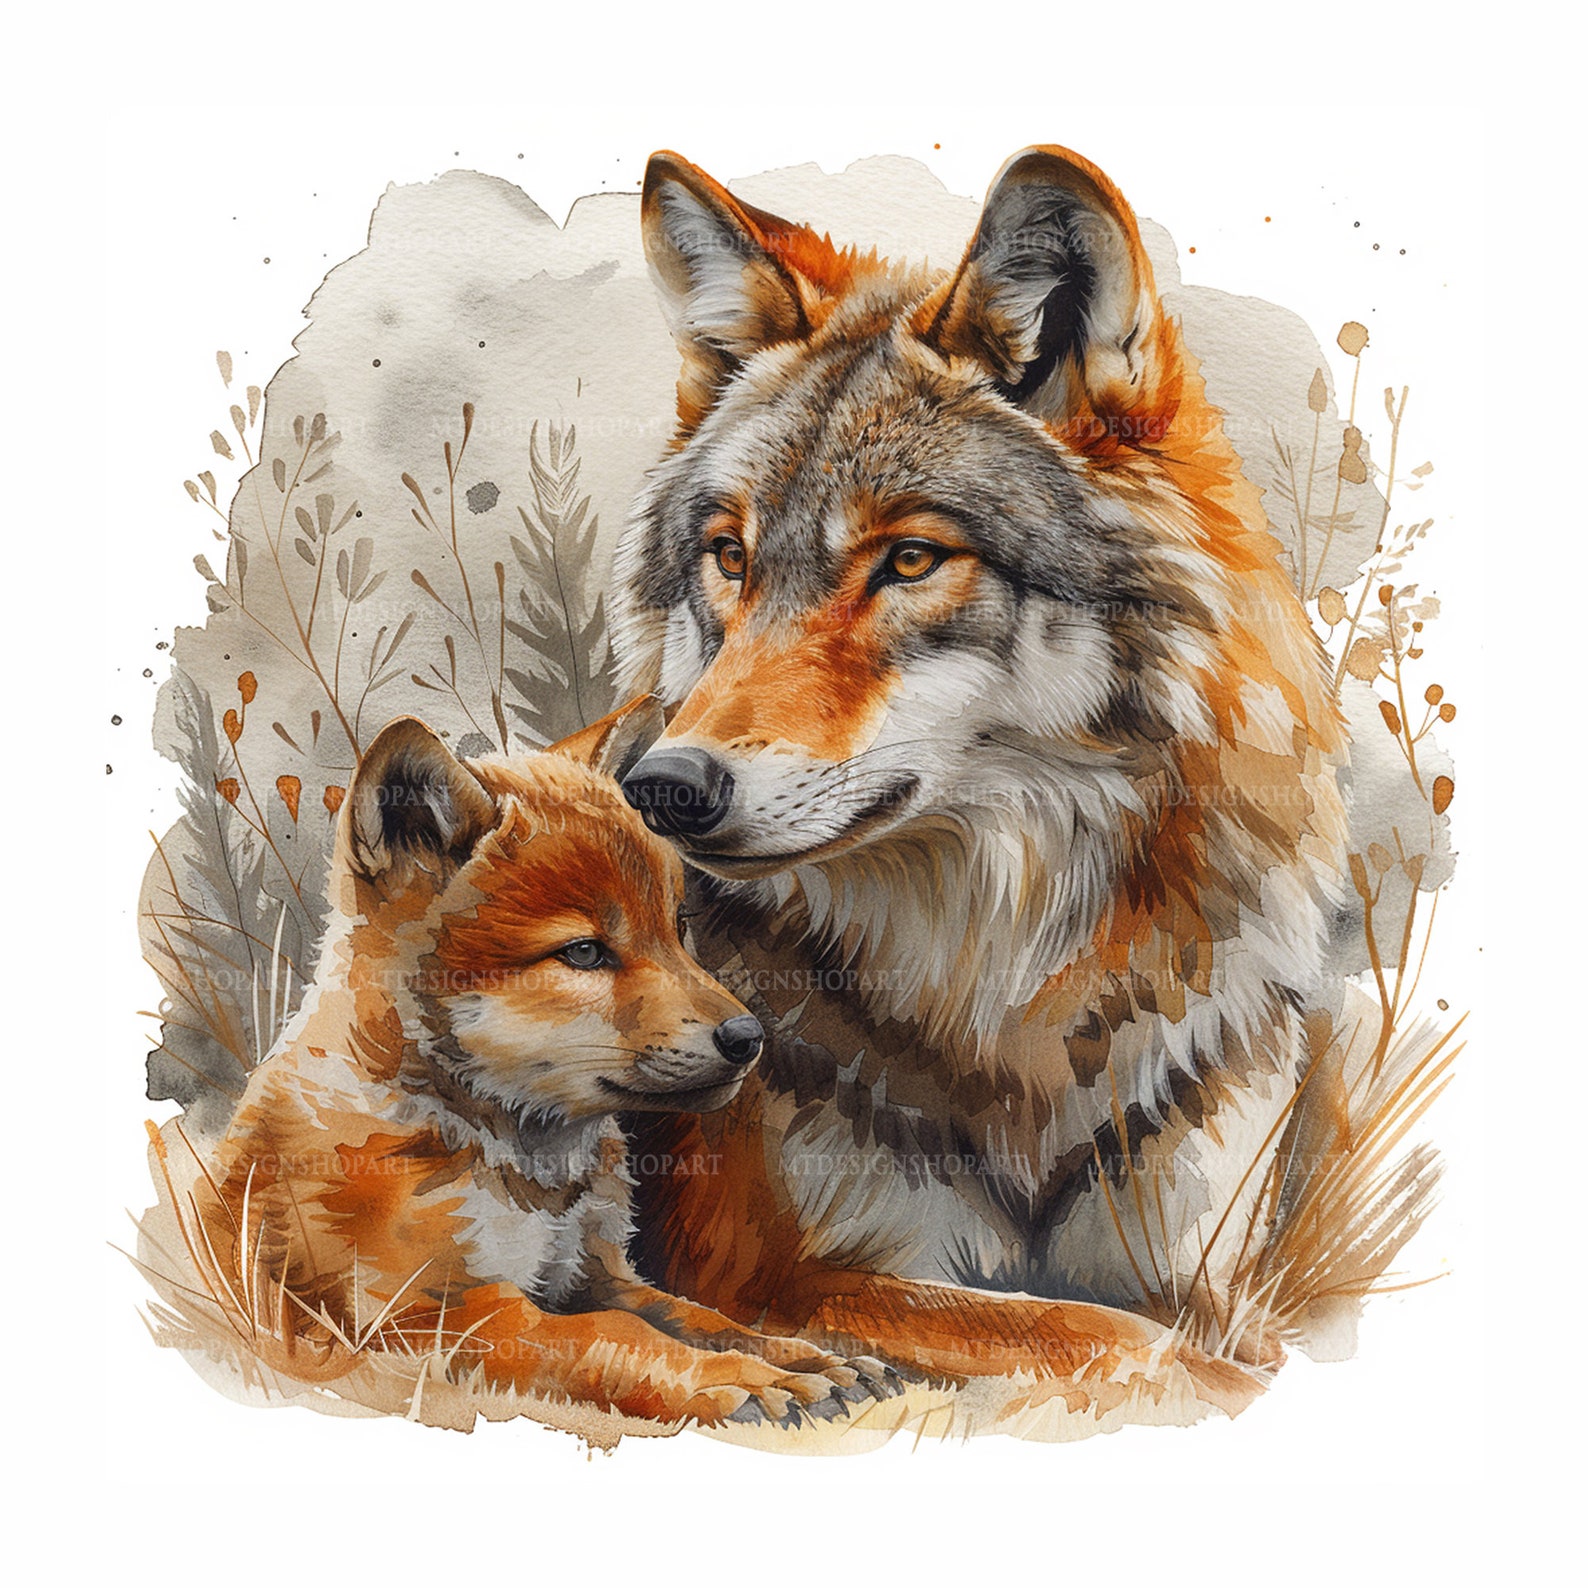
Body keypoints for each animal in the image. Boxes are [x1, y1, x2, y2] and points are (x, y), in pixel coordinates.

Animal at [187, 699, 902, 1428]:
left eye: (677, 929)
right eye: (584, 953)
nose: (748, 1036)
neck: (532, 1177)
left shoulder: (597, 1274)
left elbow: (700, 1318)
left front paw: (797, 1358)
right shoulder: (428, 1317)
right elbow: (619, 1337)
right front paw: (738, 1381)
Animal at [613, 145, 1350, 1367]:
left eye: (910, 559)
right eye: (730, 557)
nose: (665, 789)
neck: (1010, 999)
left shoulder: (1204, 1277)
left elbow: (1199, 1348)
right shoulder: (782, 1280)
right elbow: (1118, 1346)